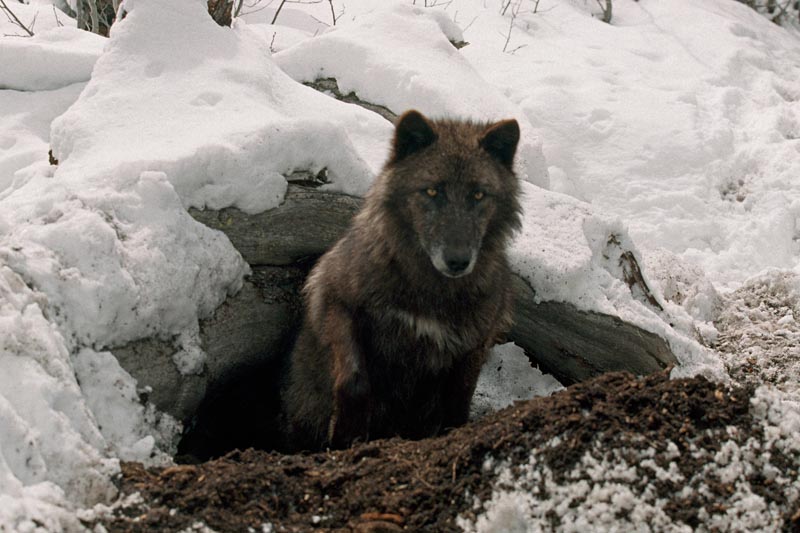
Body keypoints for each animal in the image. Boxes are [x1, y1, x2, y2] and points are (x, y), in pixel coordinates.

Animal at [281, 109, 522, 451]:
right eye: (432, 191)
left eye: (478, 195)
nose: (458, 261)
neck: (430, 291)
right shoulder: (335, 298)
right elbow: (354, 378)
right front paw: (346, 434)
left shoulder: (475, 344)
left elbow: (458, 399)